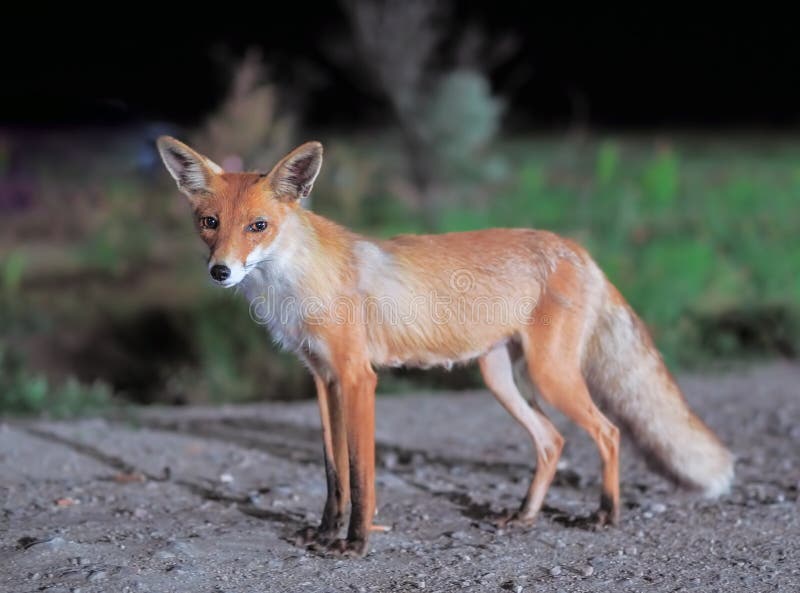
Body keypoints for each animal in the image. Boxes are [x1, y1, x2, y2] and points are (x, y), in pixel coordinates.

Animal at [156, 136, 734, 557]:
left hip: (550, 376)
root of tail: (575, 247)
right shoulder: (322, 378)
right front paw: (324, 534)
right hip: (502, 378)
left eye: (259, 226)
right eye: (210, 224)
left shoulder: (358, 378)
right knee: (552, 441)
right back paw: (525, 515)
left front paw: (355, 544)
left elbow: (361, 476)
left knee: (608, 432)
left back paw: (605, 514)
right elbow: (333, 473)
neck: (294, 288)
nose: (221, 271)